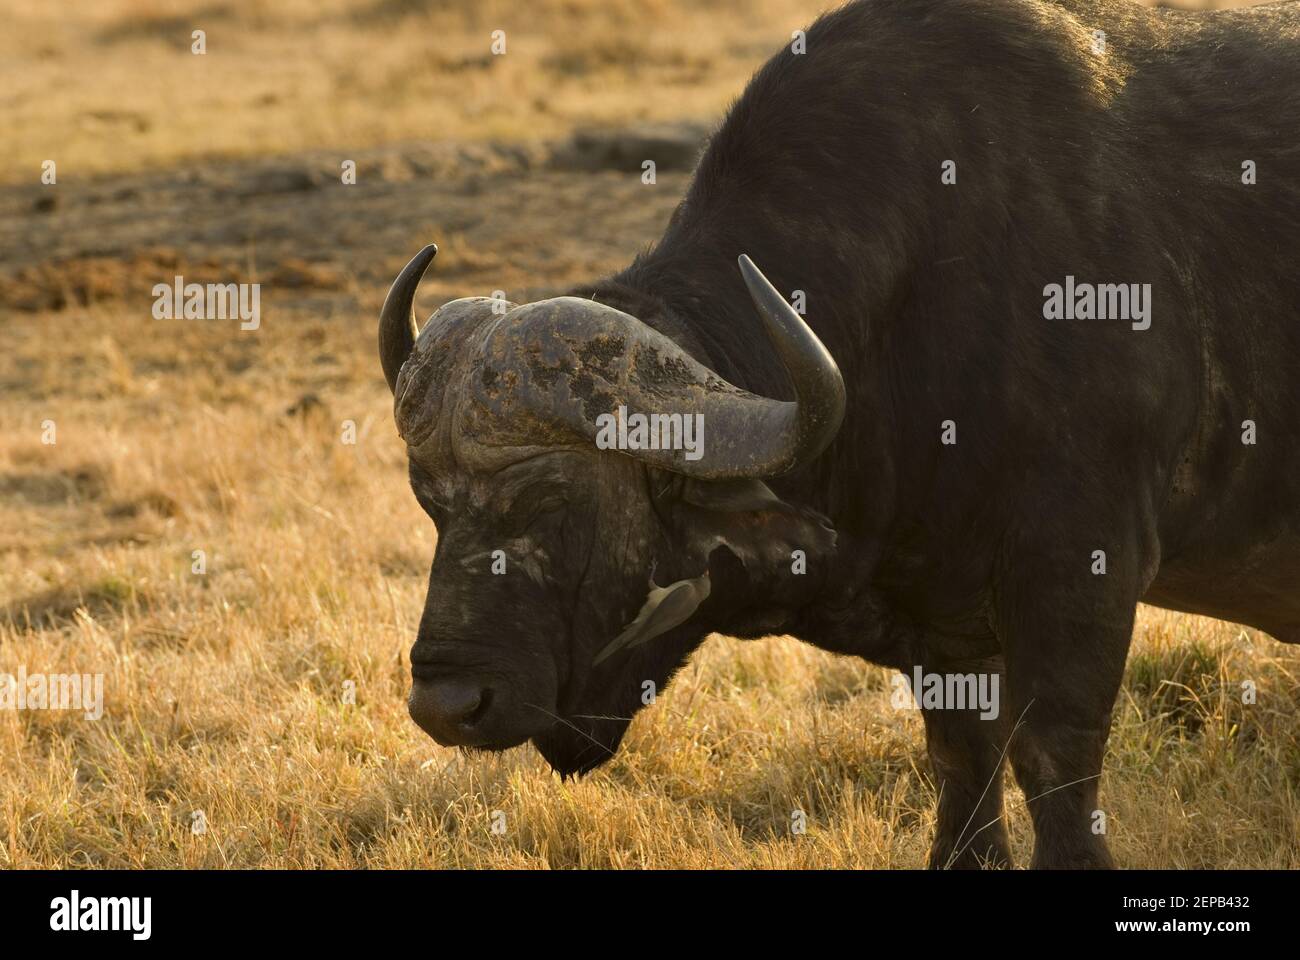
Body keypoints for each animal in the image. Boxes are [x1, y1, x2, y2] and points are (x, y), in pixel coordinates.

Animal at [377, 0, 1300, 867]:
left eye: (555, 502)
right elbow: (962, 762)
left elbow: (1053, 766)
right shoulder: (950, 630)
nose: (447, 706)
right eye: (429, 503)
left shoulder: (1080, 576)